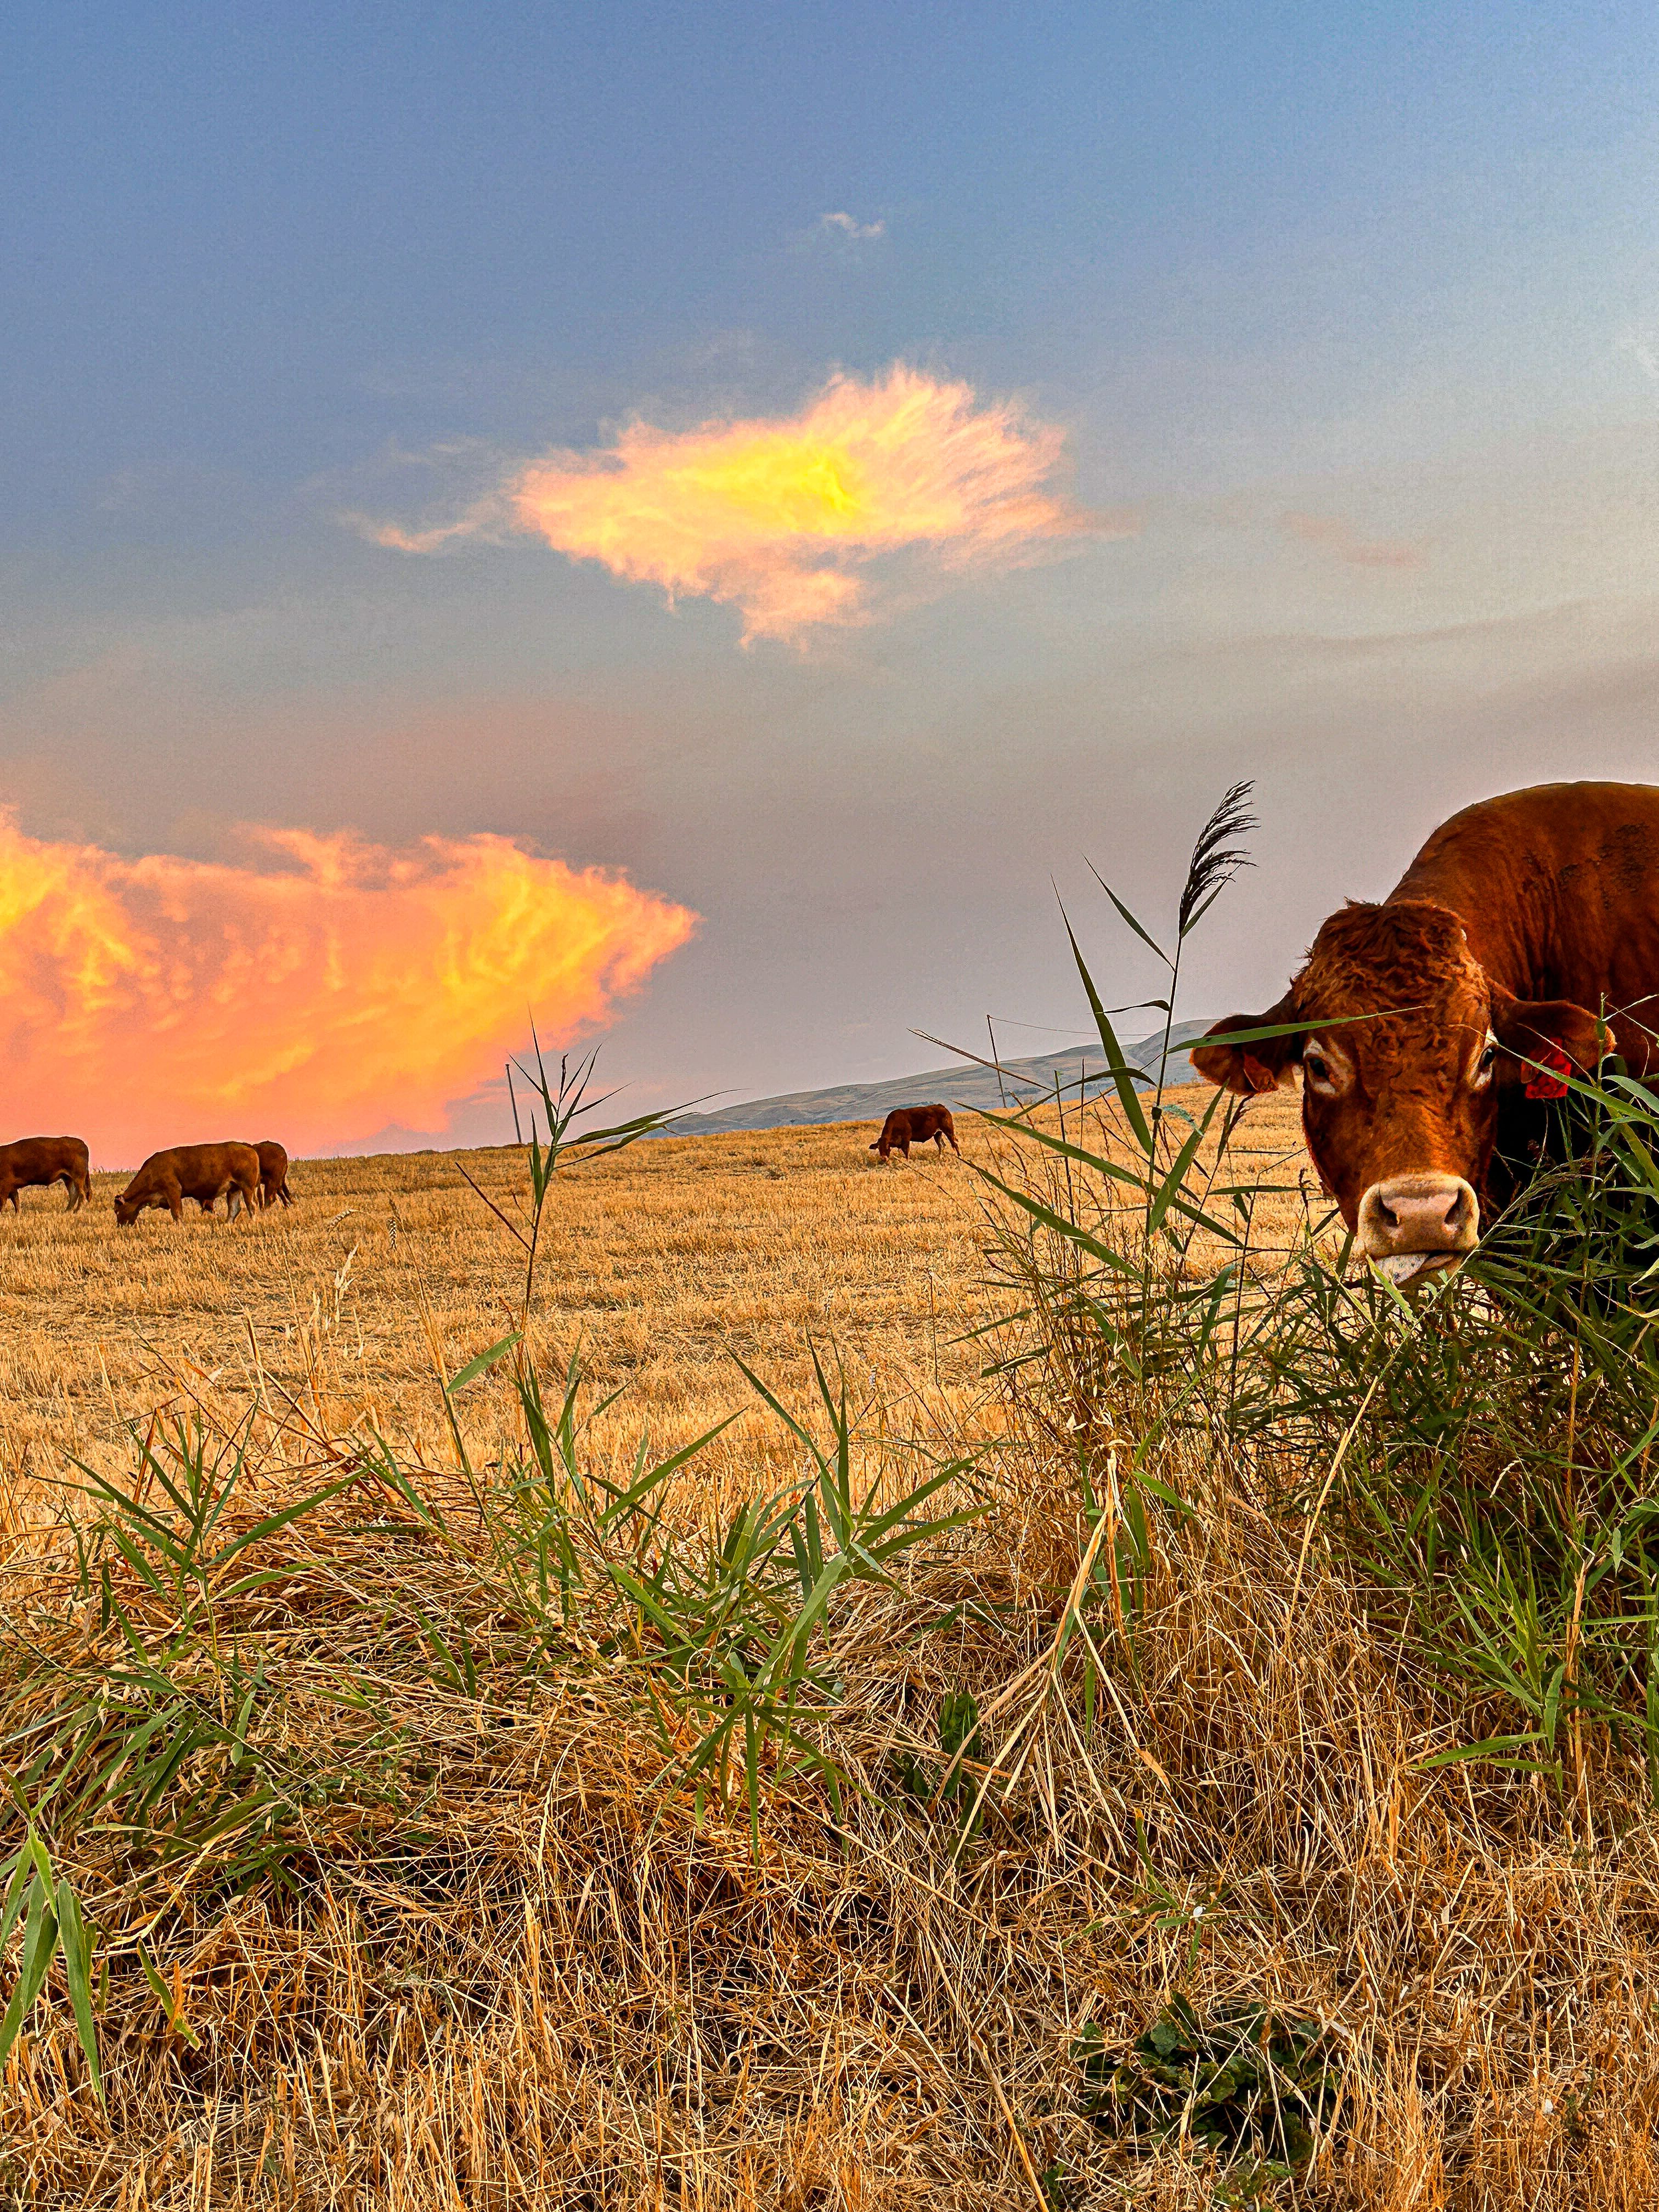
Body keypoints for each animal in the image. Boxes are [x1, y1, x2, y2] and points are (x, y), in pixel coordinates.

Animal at [0, 1137, 92, 1214]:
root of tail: (82, 1143)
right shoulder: (12, 1188)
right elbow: (16, 1202)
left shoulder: (6, 1185)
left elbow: (4, 1201)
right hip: (68, 1178)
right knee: (74, 1194)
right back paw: (67, 1211)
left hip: (78, 1177)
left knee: (82, 1194)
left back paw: (76, 1211)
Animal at [114, 1143, 261, 1226]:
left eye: (116, 1211)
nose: (120, 1226)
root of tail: (250, 1149)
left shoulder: (173, 1191)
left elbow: (177, 1213)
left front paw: (180, 1227)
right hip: (234, 1189)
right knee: (234, 1208)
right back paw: (227, 1224)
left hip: (247, 1187)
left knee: (252, 1205)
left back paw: (252, 1223)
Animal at [871, 1105, 961, 1162]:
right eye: (878, 1148)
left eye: (887, 1147)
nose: (884, 1159)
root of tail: (941, 1107)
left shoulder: (906, 1139)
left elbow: (906, 1152)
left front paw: (907, 1162)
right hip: (937, 1134)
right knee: (941, 1146)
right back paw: (940, 1158)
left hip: (949, 1131)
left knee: (955, 1144)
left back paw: (960, 1156)